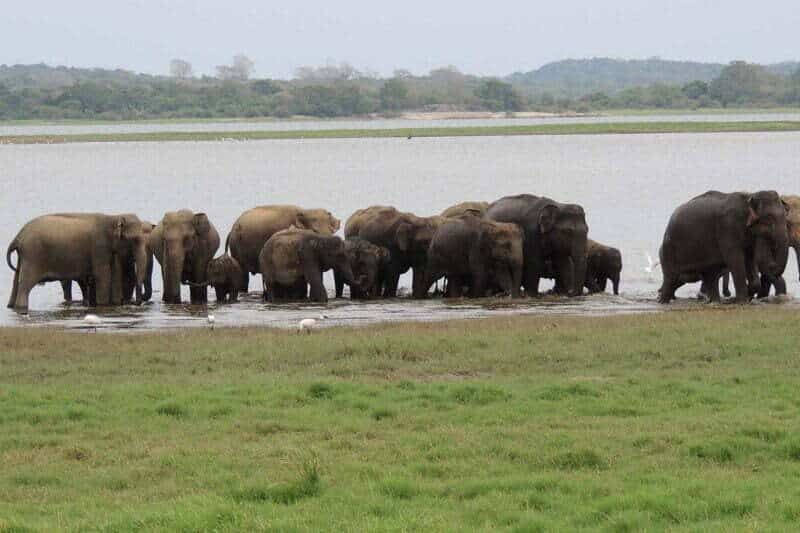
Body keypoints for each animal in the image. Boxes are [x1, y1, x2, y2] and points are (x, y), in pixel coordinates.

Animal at [6, 213, 149, 312]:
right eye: (135, 240)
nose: (137, 303)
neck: (113, 217)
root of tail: (18, 237)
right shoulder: (99, 247)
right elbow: (103, 276)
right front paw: (103, 305)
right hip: (32, 256)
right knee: (25, 285)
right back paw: (21, 307)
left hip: (24, 257)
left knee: (16, 281)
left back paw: (11, 306)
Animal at [658, 190, 789, 304]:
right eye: (769, 219)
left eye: (785, 217)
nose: (772, 265)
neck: (749, 196)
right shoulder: (727, 228)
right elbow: (735, 259)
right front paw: (741, 301)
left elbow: (750, 258)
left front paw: (744, 297)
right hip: (669, 249)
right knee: (671, 278)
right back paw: (663, 301)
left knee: (710, 274)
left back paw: (715, 301)